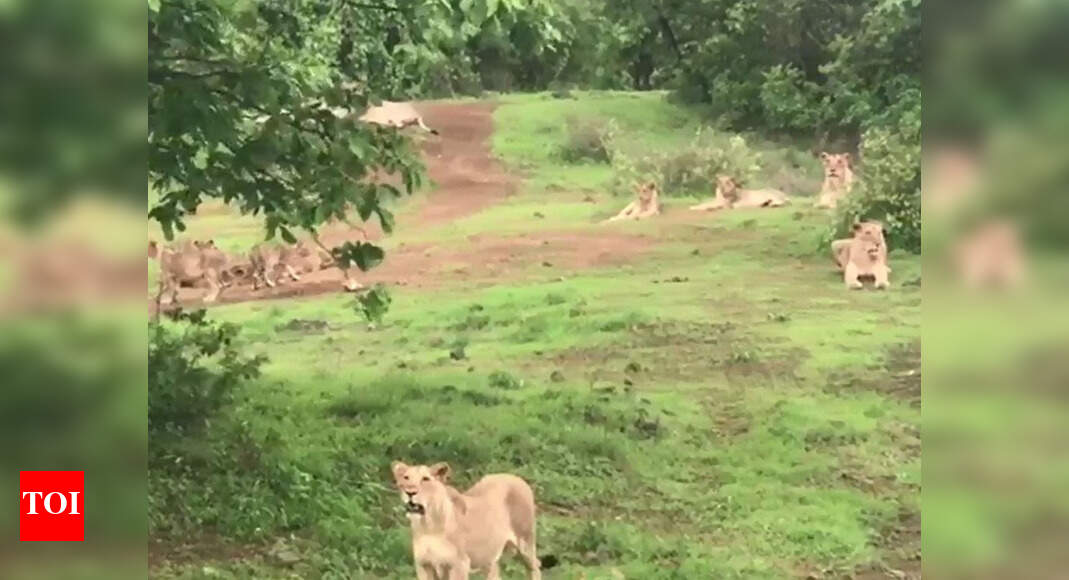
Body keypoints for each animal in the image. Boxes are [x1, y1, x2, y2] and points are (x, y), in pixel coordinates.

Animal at [391, 461, 549, 580]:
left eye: (425, 479)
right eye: (406, 478)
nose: (410, 492)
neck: (427, 525)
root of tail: (516, 477)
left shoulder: (459, 565)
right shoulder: (424, 566)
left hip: (525, 542)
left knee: (536, 566)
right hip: (489, 557)